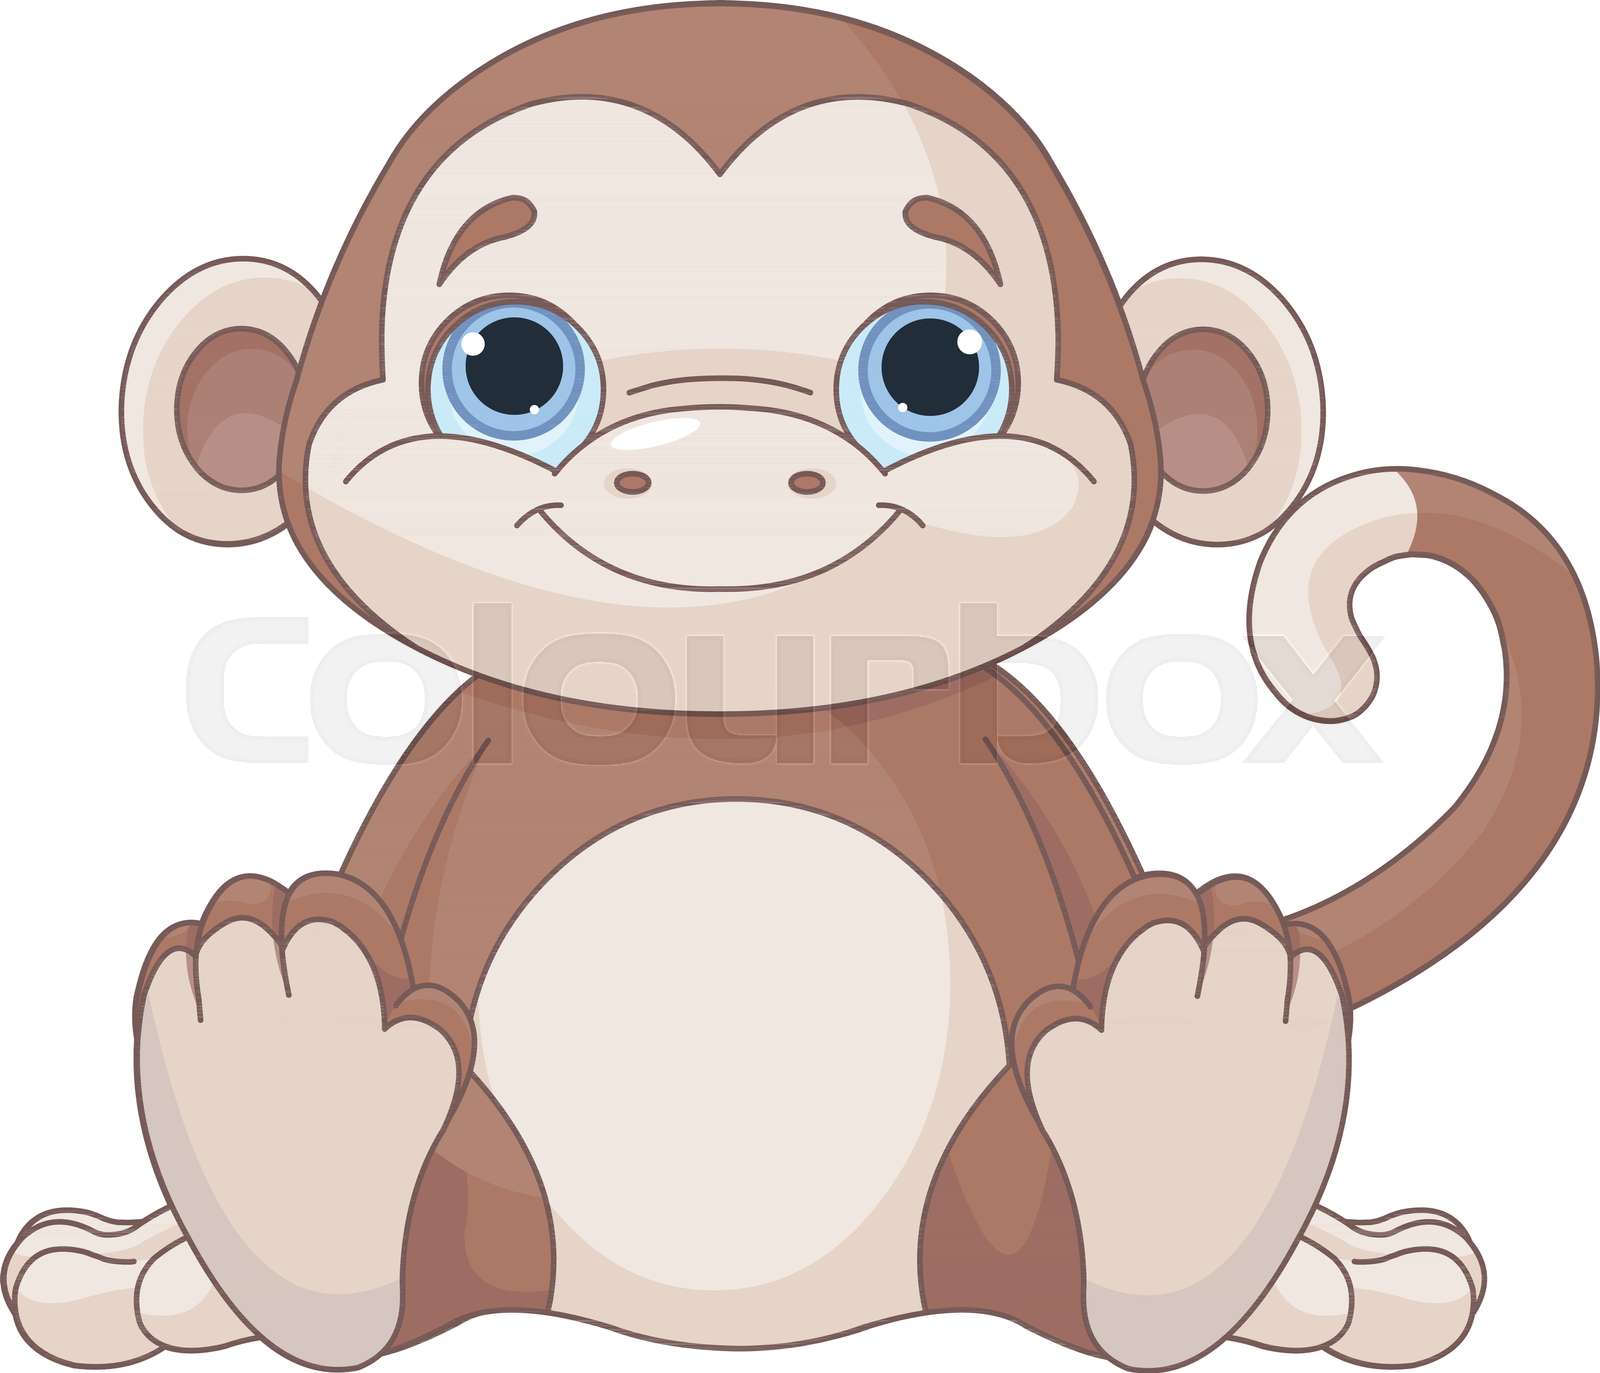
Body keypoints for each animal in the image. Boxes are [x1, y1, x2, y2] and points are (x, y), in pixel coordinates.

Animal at [5, 4, 1595, 1370]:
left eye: (935, 364)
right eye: (508, 365)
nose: (721, 459)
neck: (738, 718)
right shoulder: (451, 780)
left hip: (988, 1192)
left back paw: (1202, 1103)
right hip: (490, 1195)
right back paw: (276, 1107)